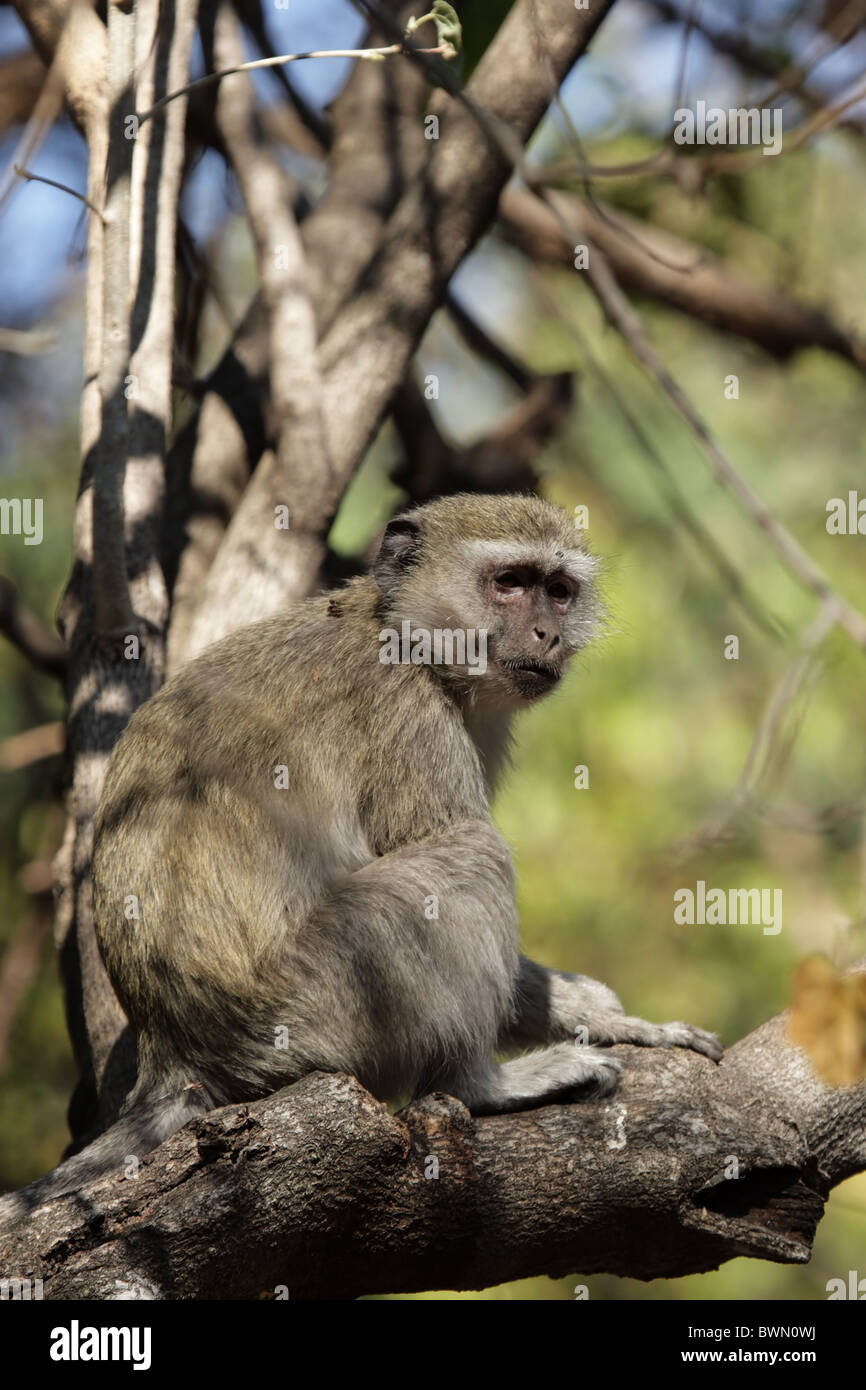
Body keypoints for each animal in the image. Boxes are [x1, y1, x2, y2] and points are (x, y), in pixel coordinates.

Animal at [1, 492, 720, 1217]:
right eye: (511, 583)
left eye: (559, 591)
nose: (547, 634)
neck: (403, 630)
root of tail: (176, 1054)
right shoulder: (411, 717)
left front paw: (604, 1015)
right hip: (323, 1007)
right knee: (471, 855)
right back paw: (481, 1084)